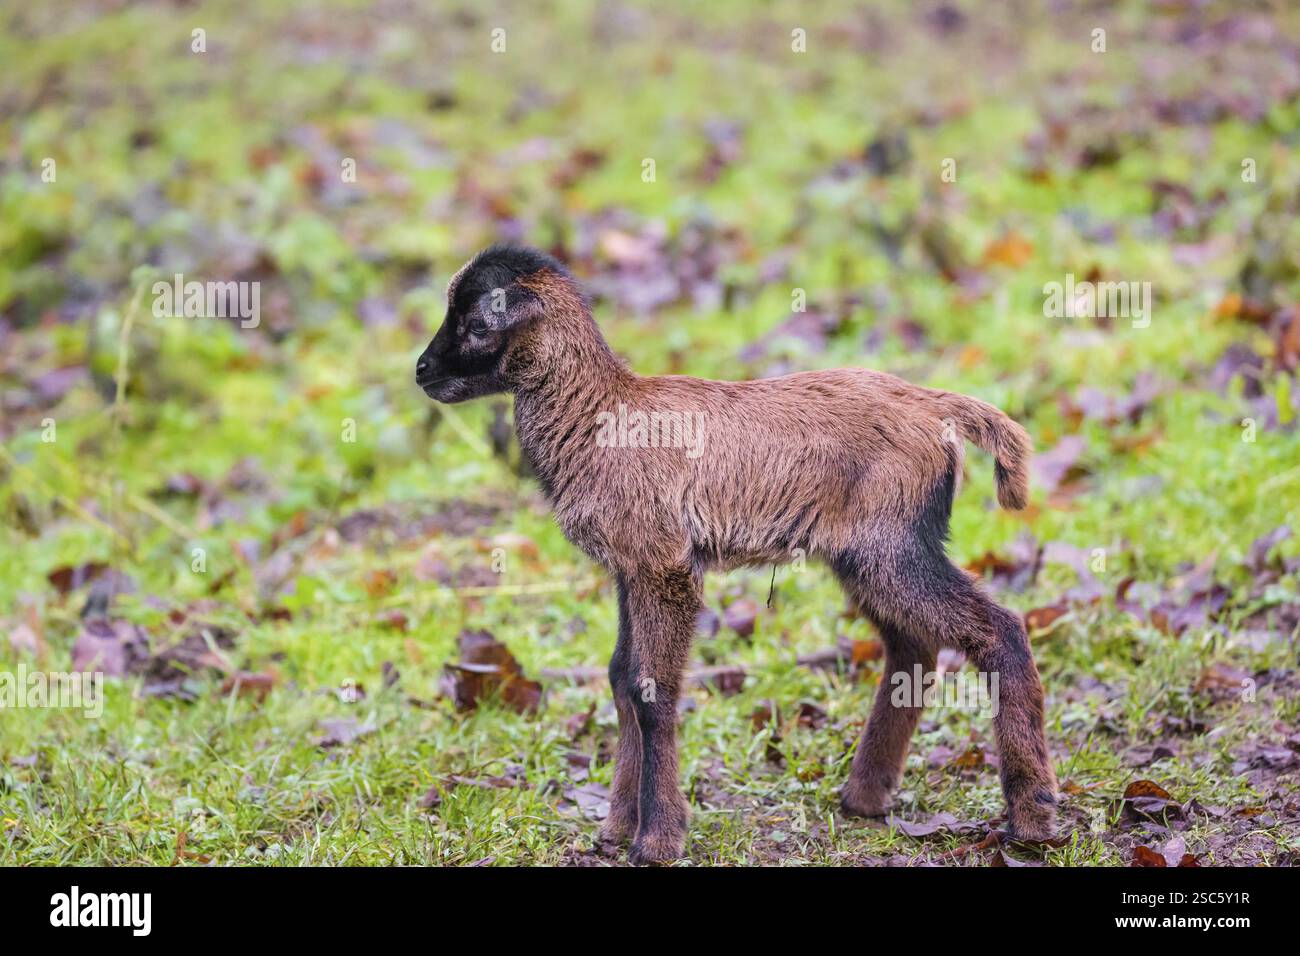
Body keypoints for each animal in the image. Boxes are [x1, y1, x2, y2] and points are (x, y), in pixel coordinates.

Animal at [416, 244, 1058, 864]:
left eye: (477, 323)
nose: (421, 371)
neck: (600, 416)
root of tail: (936, 406)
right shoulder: (631, 566)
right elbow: (622, 678)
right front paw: (616, 830)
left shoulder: (665, 565)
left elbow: (652, 691)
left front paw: (658, 841)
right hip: (865, 553)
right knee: (913, 646)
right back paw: (865, 797)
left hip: (892, 544)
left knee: (998, 628)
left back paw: (1031, 819)